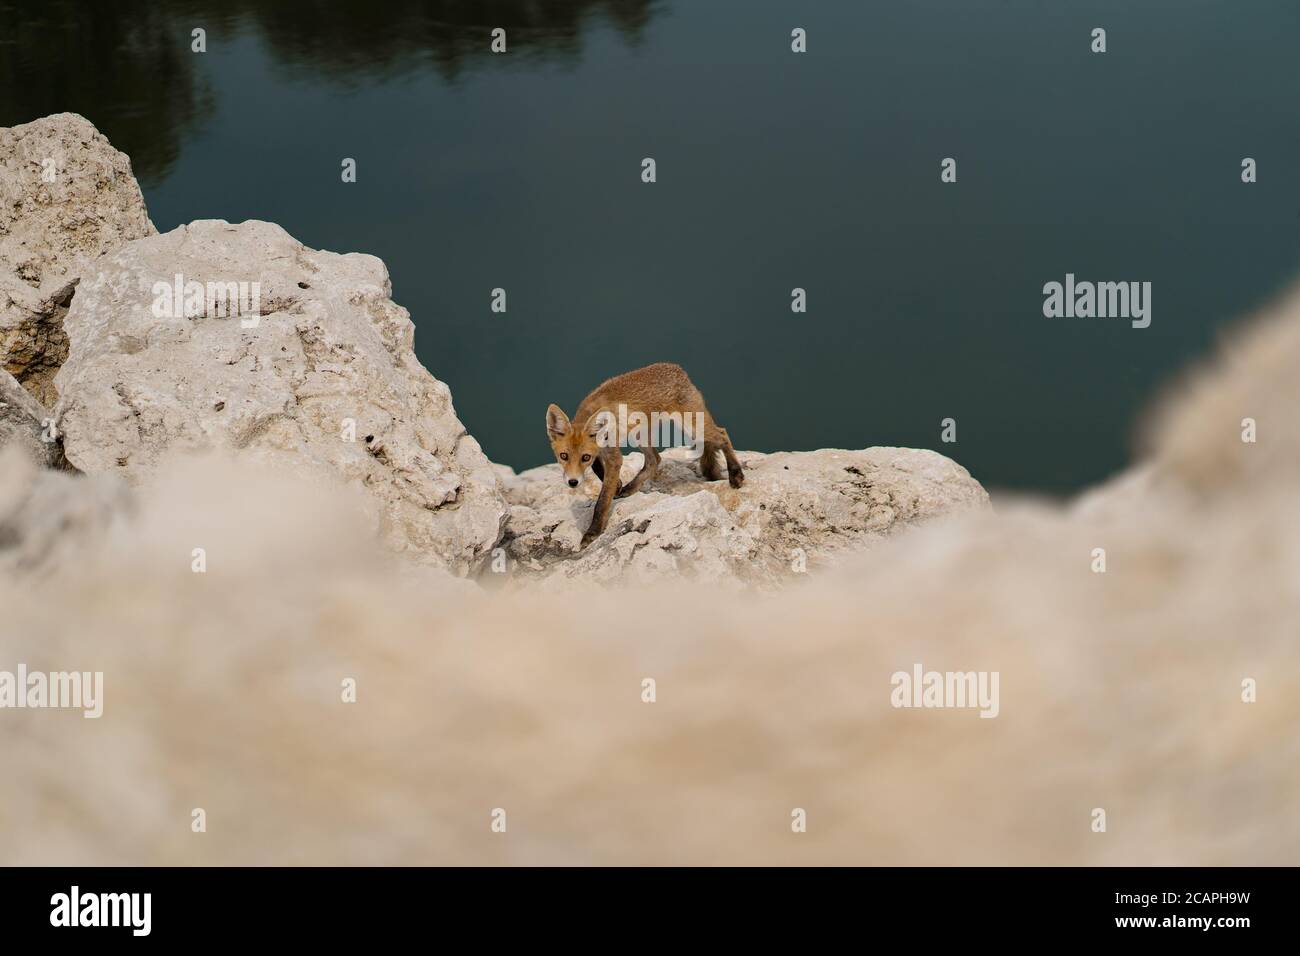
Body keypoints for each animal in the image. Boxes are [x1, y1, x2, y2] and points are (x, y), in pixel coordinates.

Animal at [546, 362, 745, 549]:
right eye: (563, 456)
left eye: (584, 457)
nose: (573, 482)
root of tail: (680, 370)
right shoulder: (602, 453)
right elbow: (598, 470)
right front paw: (618, 485)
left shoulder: (613, 457)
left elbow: (602, 501)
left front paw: (592, 532)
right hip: (640, 435)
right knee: (654, 460)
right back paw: (630, 487)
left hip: (693, 426)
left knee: (722, 434)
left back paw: (735, 474)